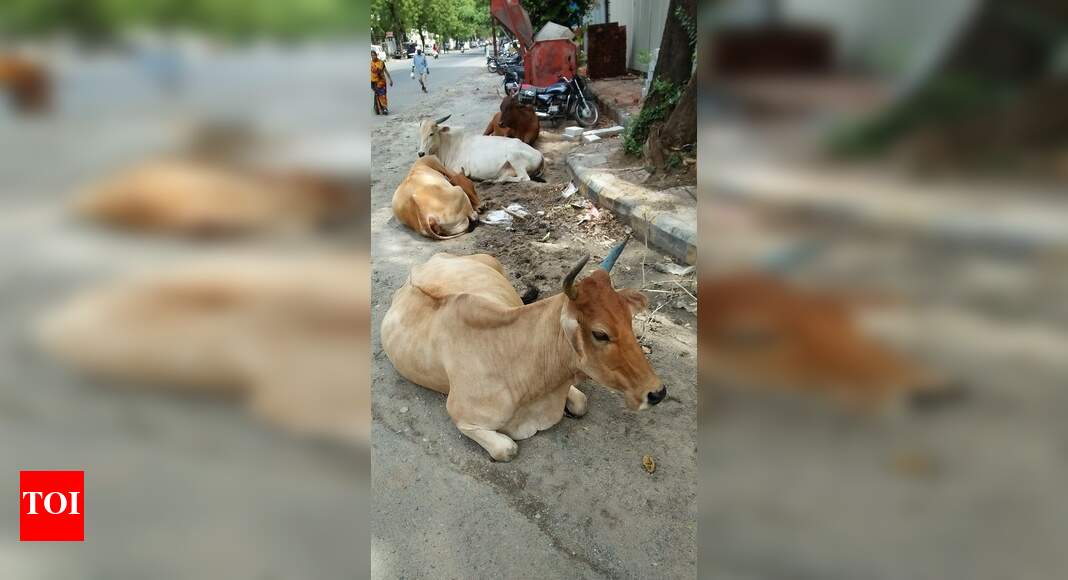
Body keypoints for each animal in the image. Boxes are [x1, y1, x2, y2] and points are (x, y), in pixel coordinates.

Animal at [381, 236, 663, 462]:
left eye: (629, 320)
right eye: (600, 334)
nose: (657, 392)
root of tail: (421, 266)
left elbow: (581, 402)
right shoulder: (460, 415)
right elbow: (507, 449)